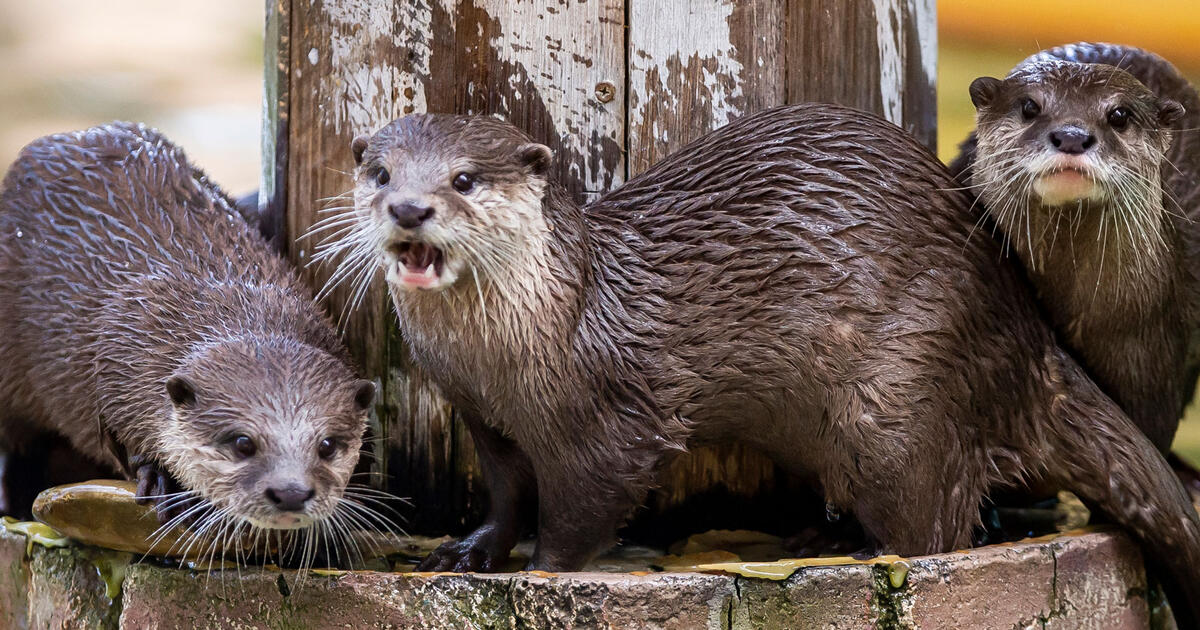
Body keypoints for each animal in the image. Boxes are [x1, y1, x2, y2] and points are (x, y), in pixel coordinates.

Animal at [327, 107, 1200, 623]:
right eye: (380, 172)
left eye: (464, 179)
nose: (409, 208)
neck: (528, 341)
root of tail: (1027, 339)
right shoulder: (488, 421)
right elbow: (508, 495)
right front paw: (468, 553)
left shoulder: (610, 425)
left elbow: (583, 509)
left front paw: (543, 575)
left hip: (901, 394)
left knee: (940, 527)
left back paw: (856, 553)